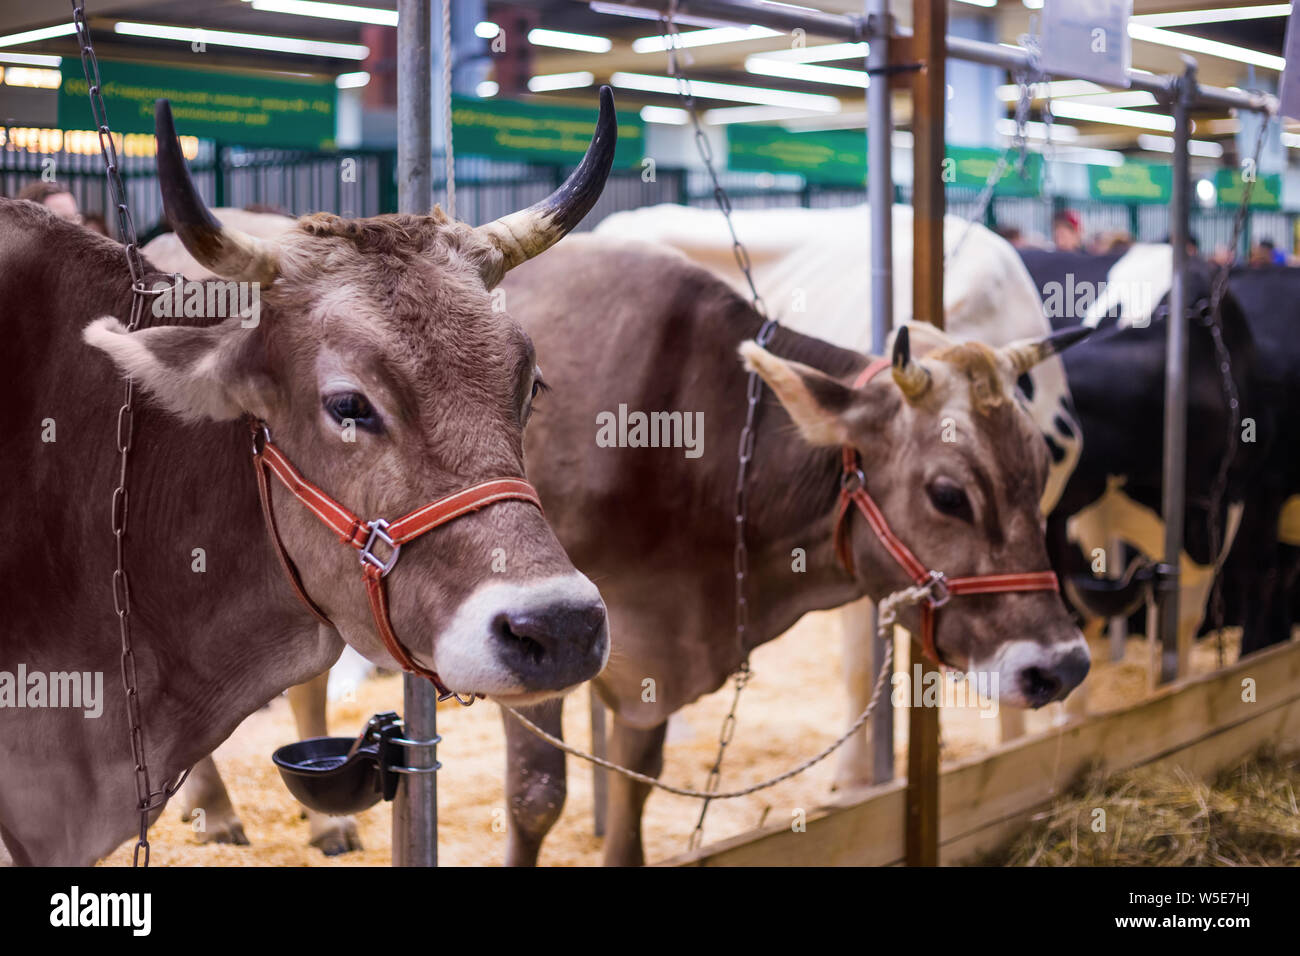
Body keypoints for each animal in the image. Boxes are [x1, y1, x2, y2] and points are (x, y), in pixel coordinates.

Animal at [493, 235, 1092, 865]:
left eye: (1043, 468)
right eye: (948, 495)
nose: (1063, 666)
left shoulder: (647, 666)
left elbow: (635, 785)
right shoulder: (540, 632)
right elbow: (536, 796)